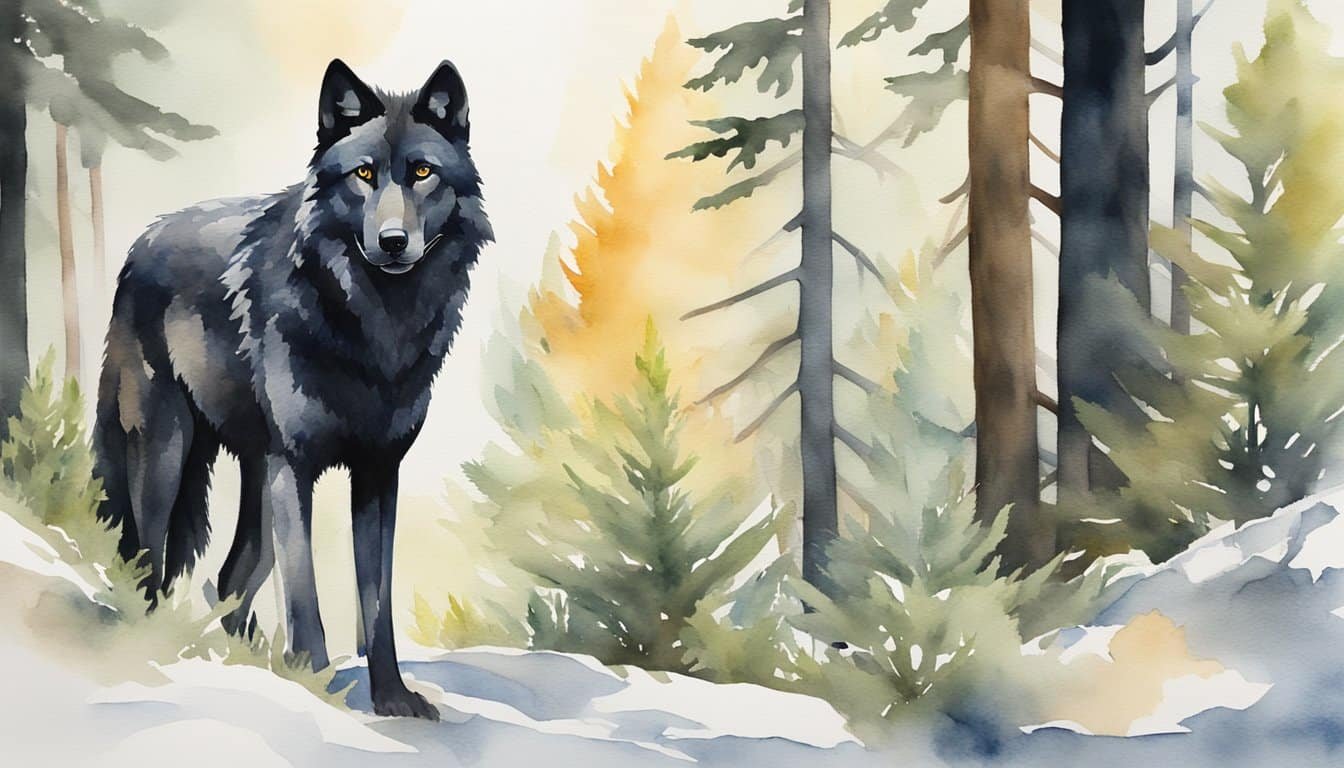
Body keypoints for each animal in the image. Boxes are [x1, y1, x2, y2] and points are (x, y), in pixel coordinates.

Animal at [92, 59, 491, 720]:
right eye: (363, 174)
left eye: (422, 172)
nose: (392, 242)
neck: (375, 326)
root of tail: (139, 244)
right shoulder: (295, 467)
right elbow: (304, 596)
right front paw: (317, 688)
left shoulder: (378, 475)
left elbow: (376, 603)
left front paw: (392, 698)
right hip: (169, 455)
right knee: (145, 554)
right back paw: (148, 640)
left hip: (256, 480)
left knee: (229, 580)